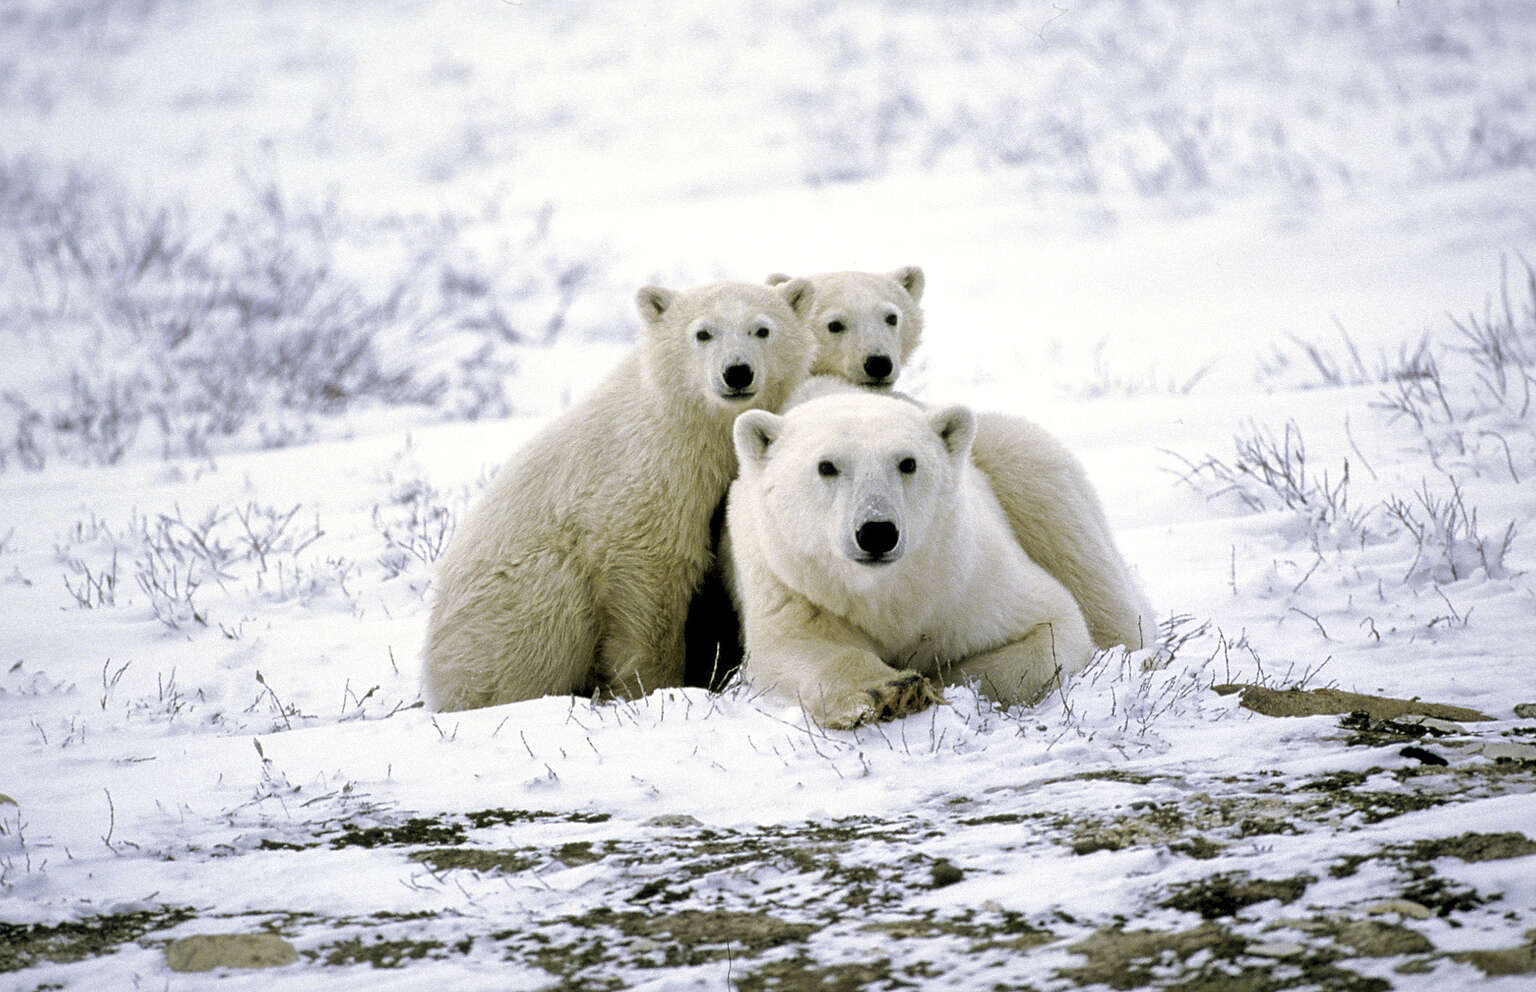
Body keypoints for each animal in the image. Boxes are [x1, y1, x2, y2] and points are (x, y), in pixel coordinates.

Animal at [423, 278, 817, 712]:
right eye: (703, 332)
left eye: (762, 329)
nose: (737, 372)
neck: (689, 425)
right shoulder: (650, 474)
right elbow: (651, 571)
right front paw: (652, 687)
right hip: (510, 601)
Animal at [726, 388, 1096, 729]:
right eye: (826, 466)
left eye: (908, 462)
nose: (877, 531)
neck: (887, 590)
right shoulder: (792, 586)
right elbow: (791, 647)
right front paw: (892, 691)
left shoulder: (967, 581)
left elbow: (1054, 626)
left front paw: (946, 679)